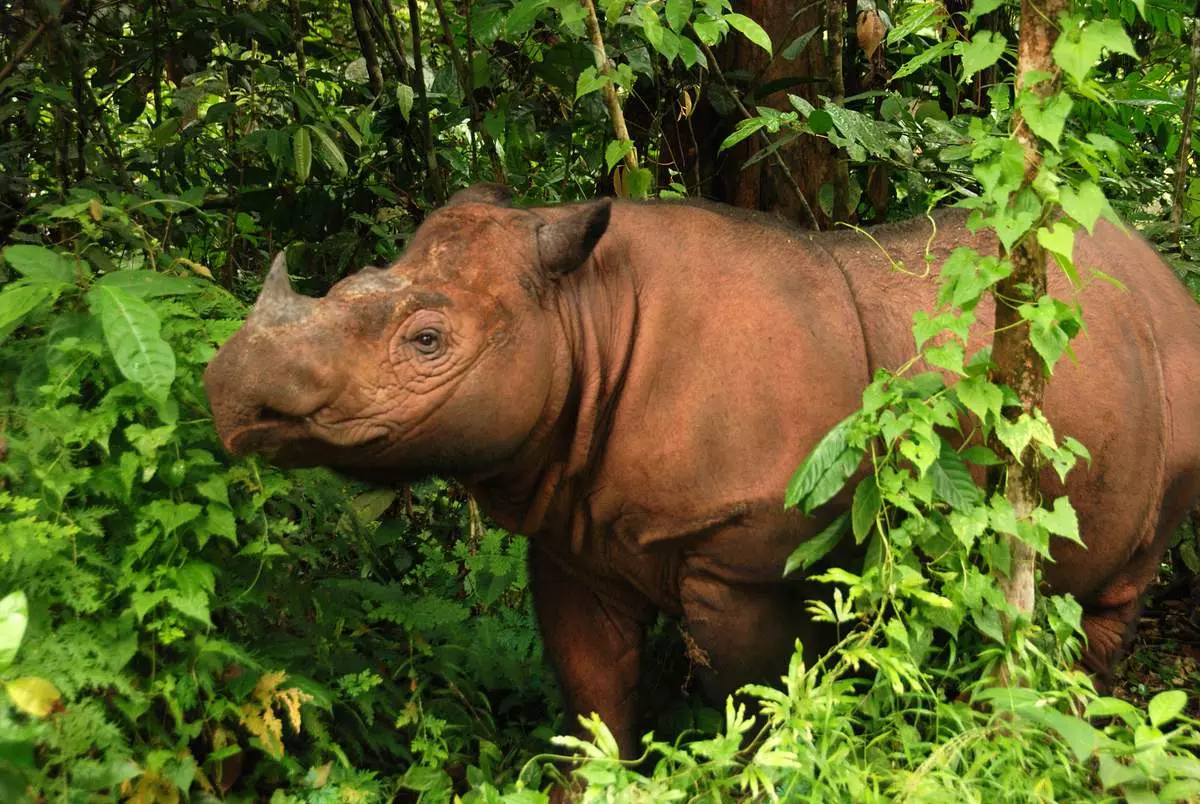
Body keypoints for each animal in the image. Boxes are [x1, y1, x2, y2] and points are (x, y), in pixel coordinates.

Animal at [204, 186, 1200, 758]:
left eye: (426, 341)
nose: (229, 393)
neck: (582, 313)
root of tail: (1165, 278)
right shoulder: (573, 537)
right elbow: (594, 699)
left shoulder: (746, 560)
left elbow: (754, 702)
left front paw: (756, 772)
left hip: (1176, 378)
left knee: (1116, 590)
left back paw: (1076, 730)